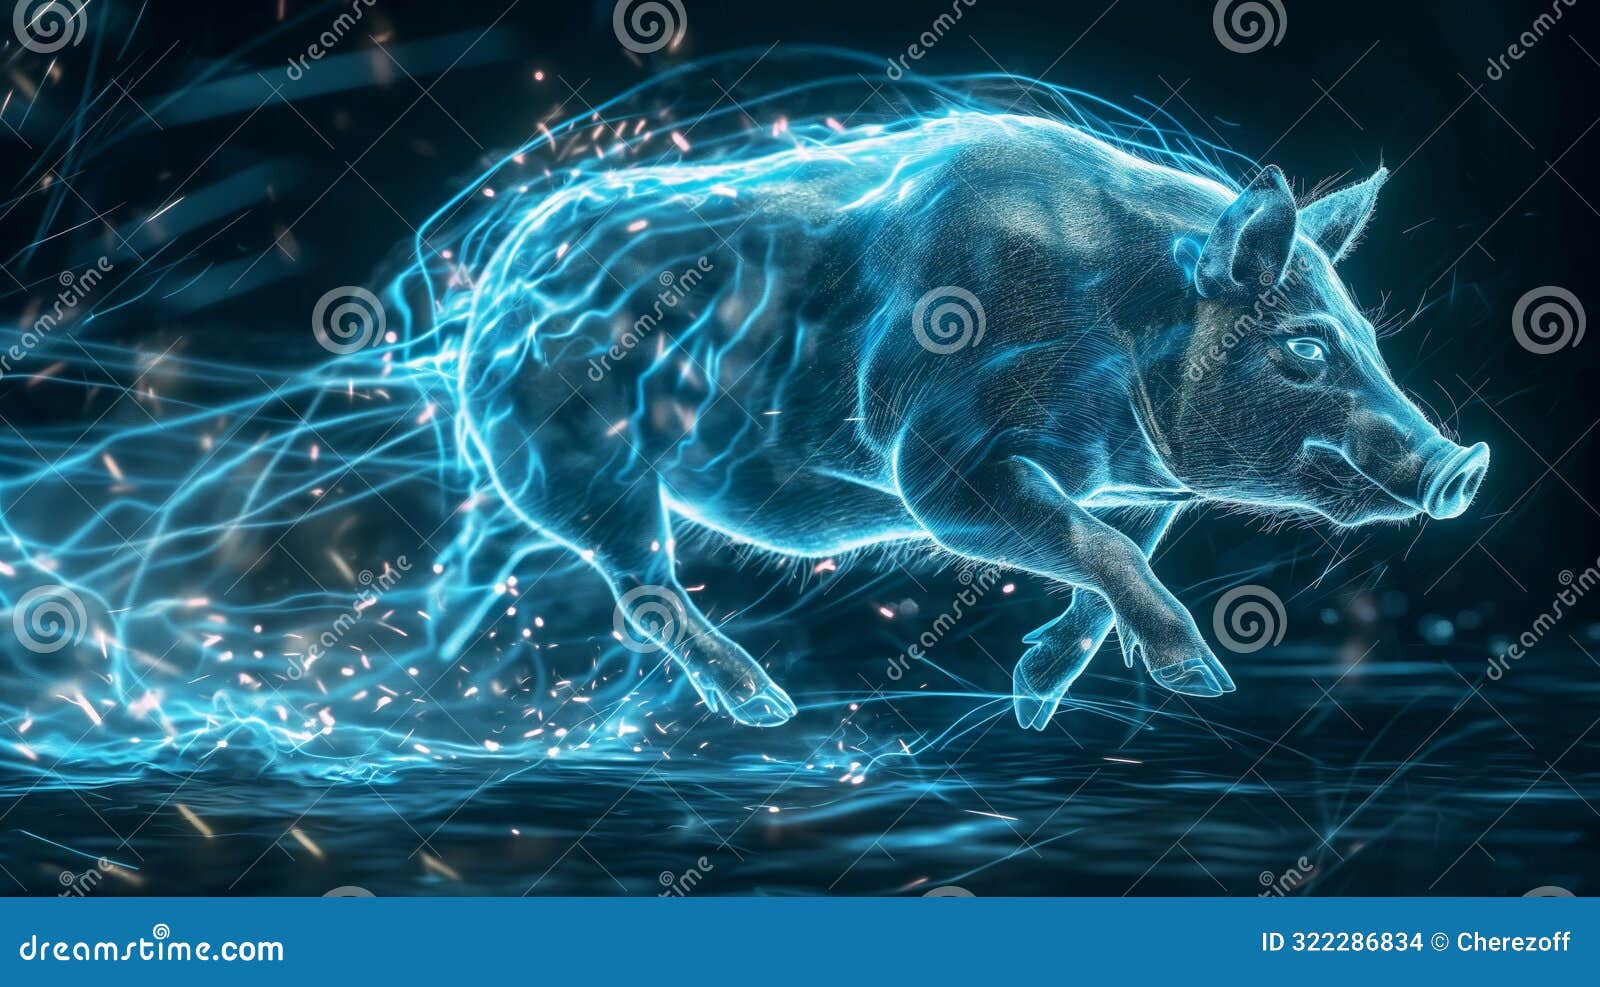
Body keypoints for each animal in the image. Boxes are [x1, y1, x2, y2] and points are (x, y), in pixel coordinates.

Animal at [452, 111, 1488, 729]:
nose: (1463, 465)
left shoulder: (1136, 482)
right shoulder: (936, 467)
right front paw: (1202, 681)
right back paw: (769, 710)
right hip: (580, 470)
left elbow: (1118, 549)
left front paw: (1033, 704)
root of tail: (498, 277)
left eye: (1370, 336)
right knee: (642, 589)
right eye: (1305, 350)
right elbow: (1105, 547)